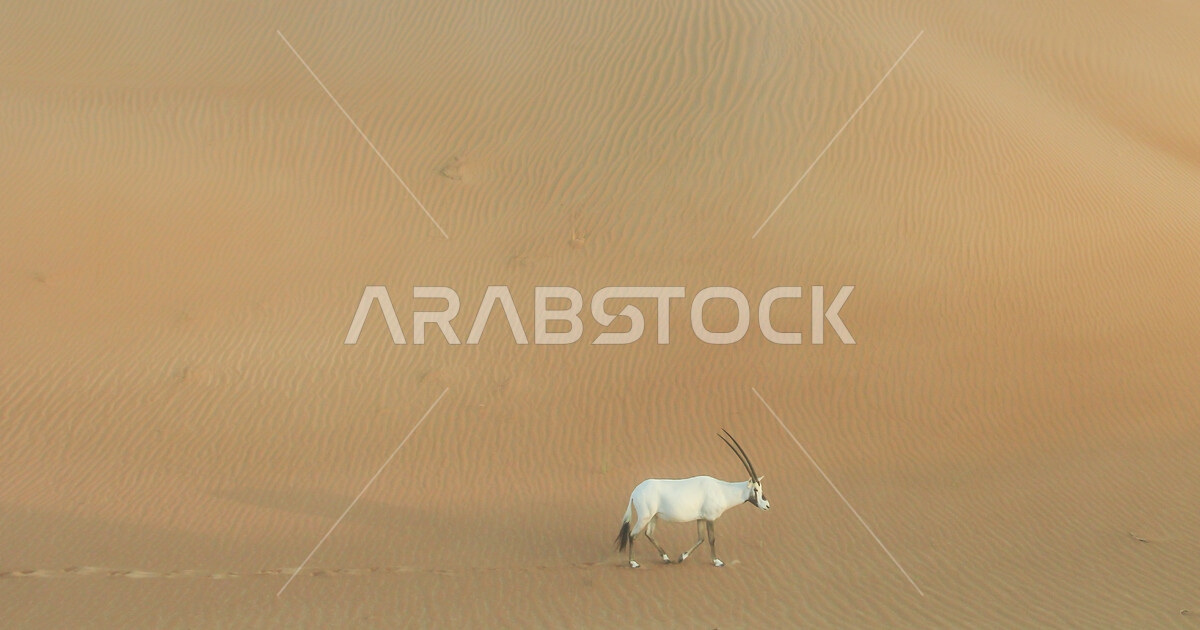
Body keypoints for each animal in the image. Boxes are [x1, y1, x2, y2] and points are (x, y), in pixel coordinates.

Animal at [614, 430, 769, 568]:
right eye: (755, 489)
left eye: (761, 488)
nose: (767, 505)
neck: (721, 490)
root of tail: (634, 492)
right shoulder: (710, 518)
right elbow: (711, 539)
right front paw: (717, 561)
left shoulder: (700, 518)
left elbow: (701, 538)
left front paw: (681, 557)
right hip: (644, 517)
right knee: (633, 535)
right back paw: (633, 563)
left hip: (654, 516)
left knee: (649, 533)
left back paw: (666, 558)